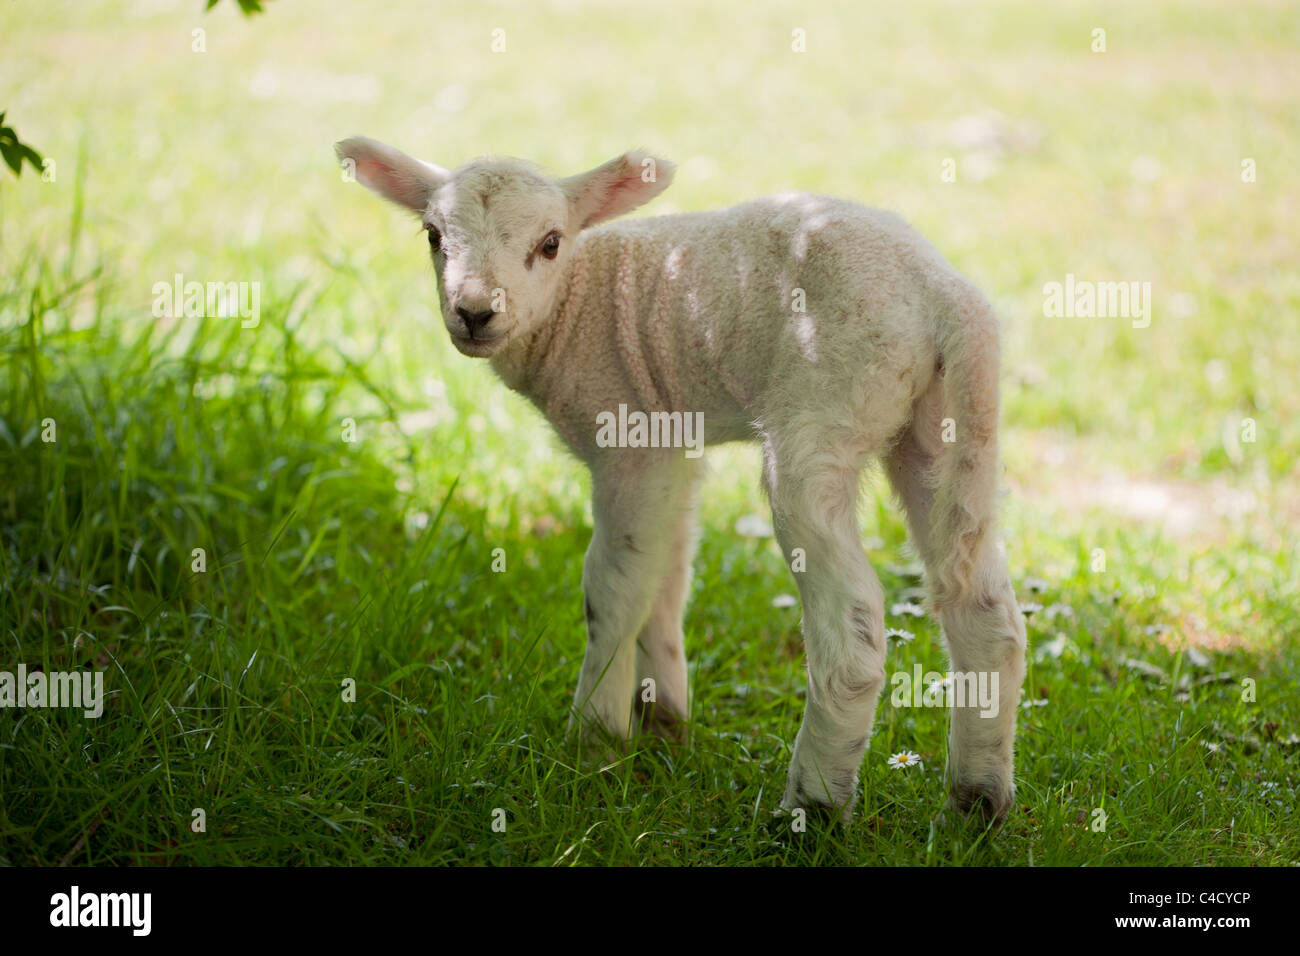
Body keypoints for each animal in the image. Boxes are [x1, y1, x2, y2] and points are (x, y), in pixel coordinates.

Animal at [335, 136, 1029, 824]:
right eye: (433, 236)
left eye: (551, 242)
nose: (475, 313)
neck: (576, 302)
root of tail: (945, 297)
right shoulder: (674, 446)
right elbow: (665, 578)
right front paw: (663, 719)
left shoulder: (630, 440)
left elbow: (614, 590)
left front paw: (596, 740)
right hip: (943, 425)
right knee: (986, 610)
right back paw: (974, 804)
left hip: (828, 402)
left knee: (853, 634)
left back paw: (811, 810)